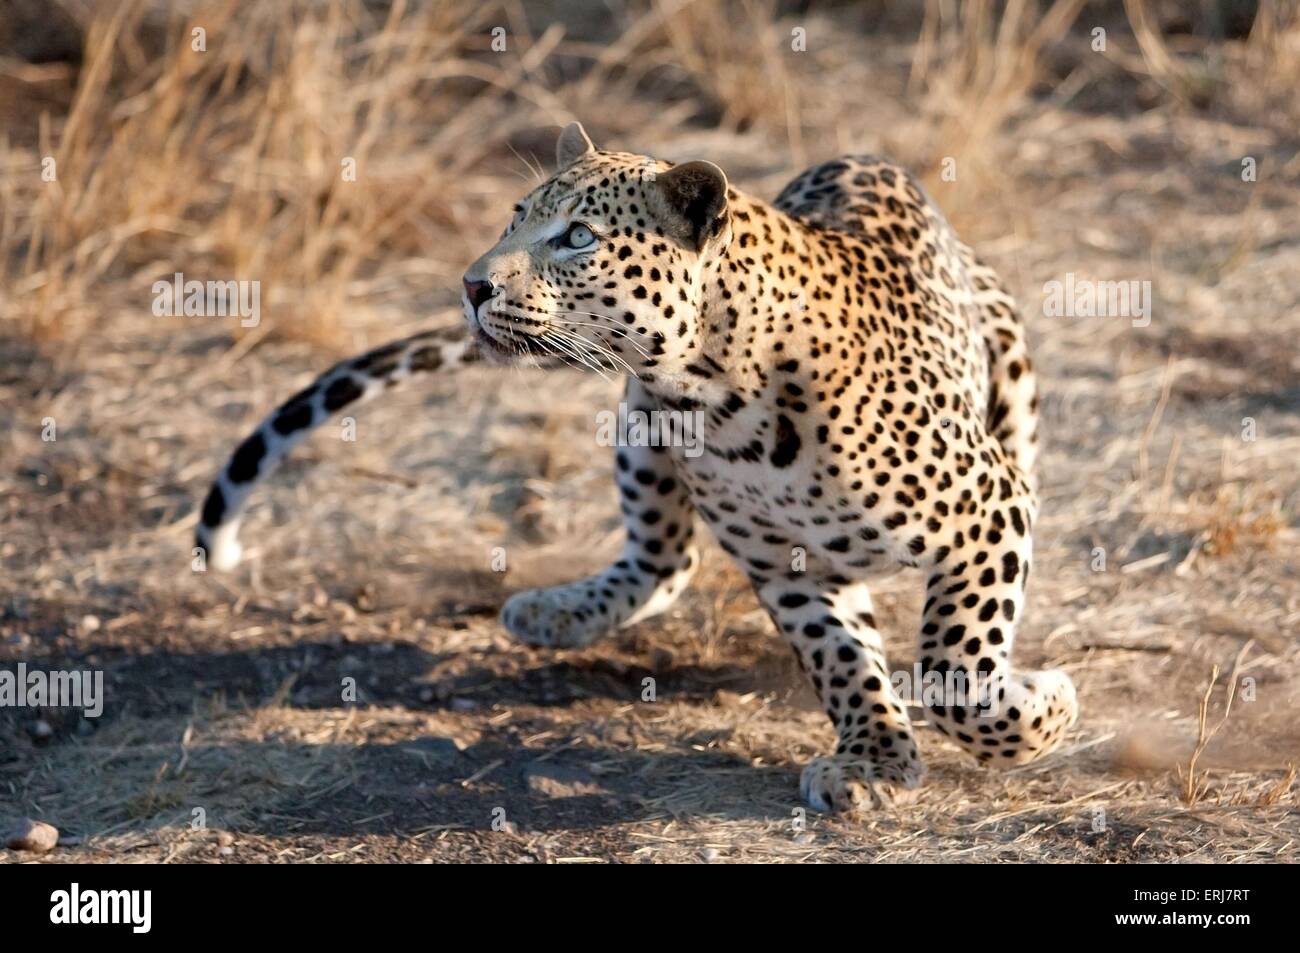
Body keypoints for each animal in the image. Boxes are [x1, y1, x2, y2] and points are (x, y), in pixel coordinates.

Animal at [197, 122, 1078, 813]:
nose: (473, 285)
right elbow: (843, 658)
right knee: (663, 560)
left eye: (579, 237)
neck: (721, 394)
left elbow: (956, 663)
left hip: (1012, 386)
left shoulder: (988, 508)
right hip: (636, 431)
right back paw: (557, 610)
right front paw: (873, 758)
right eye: (515, 218)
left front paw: (1041, 708)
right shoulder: (783, 562)